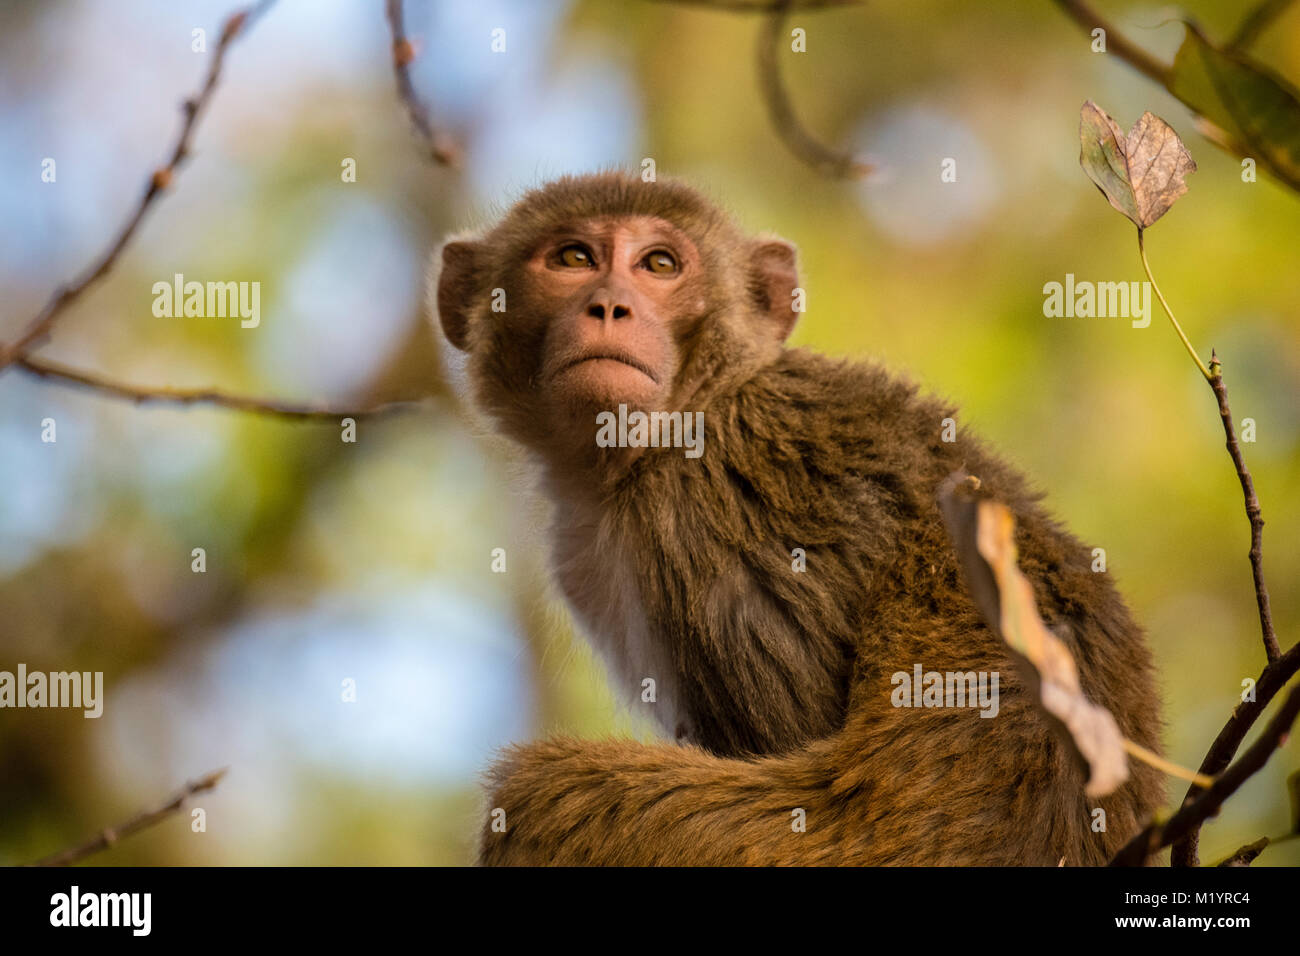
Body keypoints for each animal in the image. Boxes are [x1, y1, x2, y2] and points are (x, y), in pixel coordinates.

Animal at [432, 171, 1164, 866]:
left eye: (660, 264)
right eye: (574, 257)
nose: (610, 305)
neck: (697, 409)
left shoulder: (713, 498)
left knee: (535, 794)